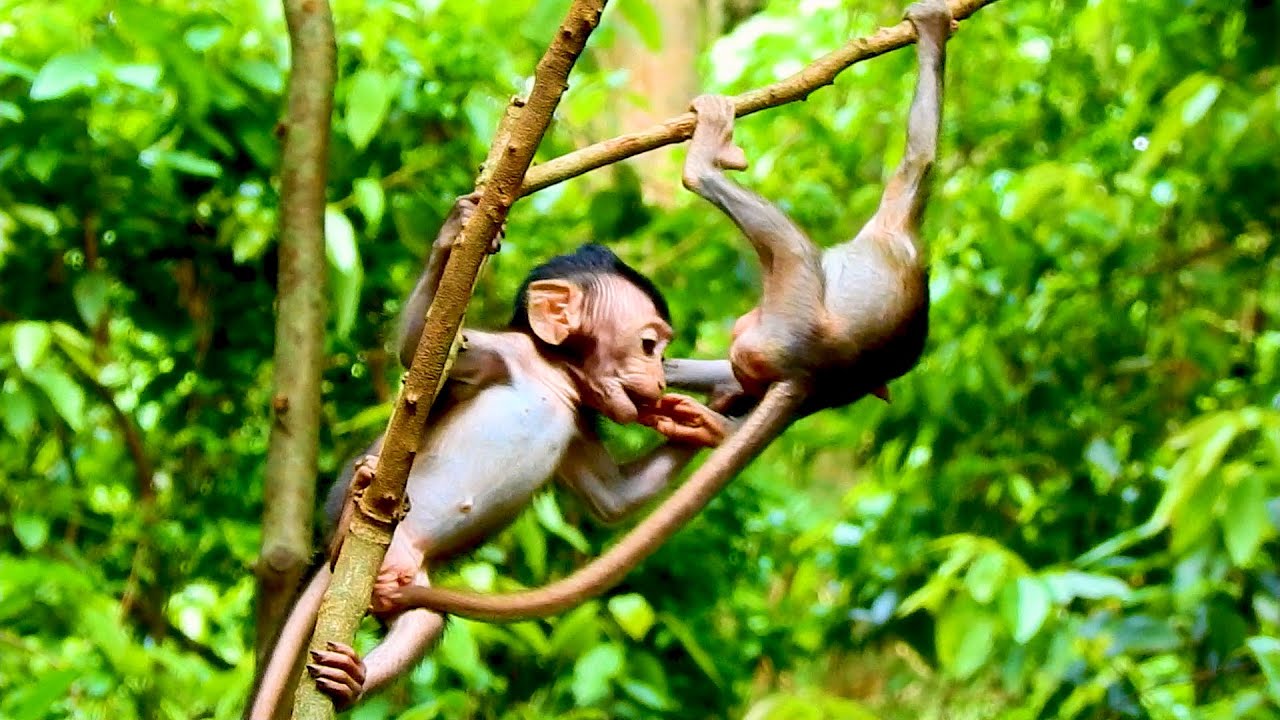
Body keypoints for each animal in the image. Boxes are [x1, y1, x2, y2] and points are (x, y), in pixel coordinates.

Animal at [246, 194, 735, 716]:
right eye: (648, 345)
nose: (662, 379)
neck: (550, 373)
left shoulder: (579, 423)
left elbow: (612, 499)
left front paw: (700, 421)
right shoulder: (495, 353)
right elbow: (418, 351)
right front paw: (457, 230)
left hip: (405, 578)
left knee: (423, 621)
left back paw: (351, 677)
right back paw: (355, 504)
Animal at [382, 0, 955, 622]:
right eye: (646, 344)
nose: (652, 368)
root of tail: (813, 377)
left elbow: (919, 156)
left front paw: (930, 36)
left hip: (792, 310)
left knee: (787, 255)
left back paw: (705, 163)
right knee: (738, 362)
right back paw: (712, 412)